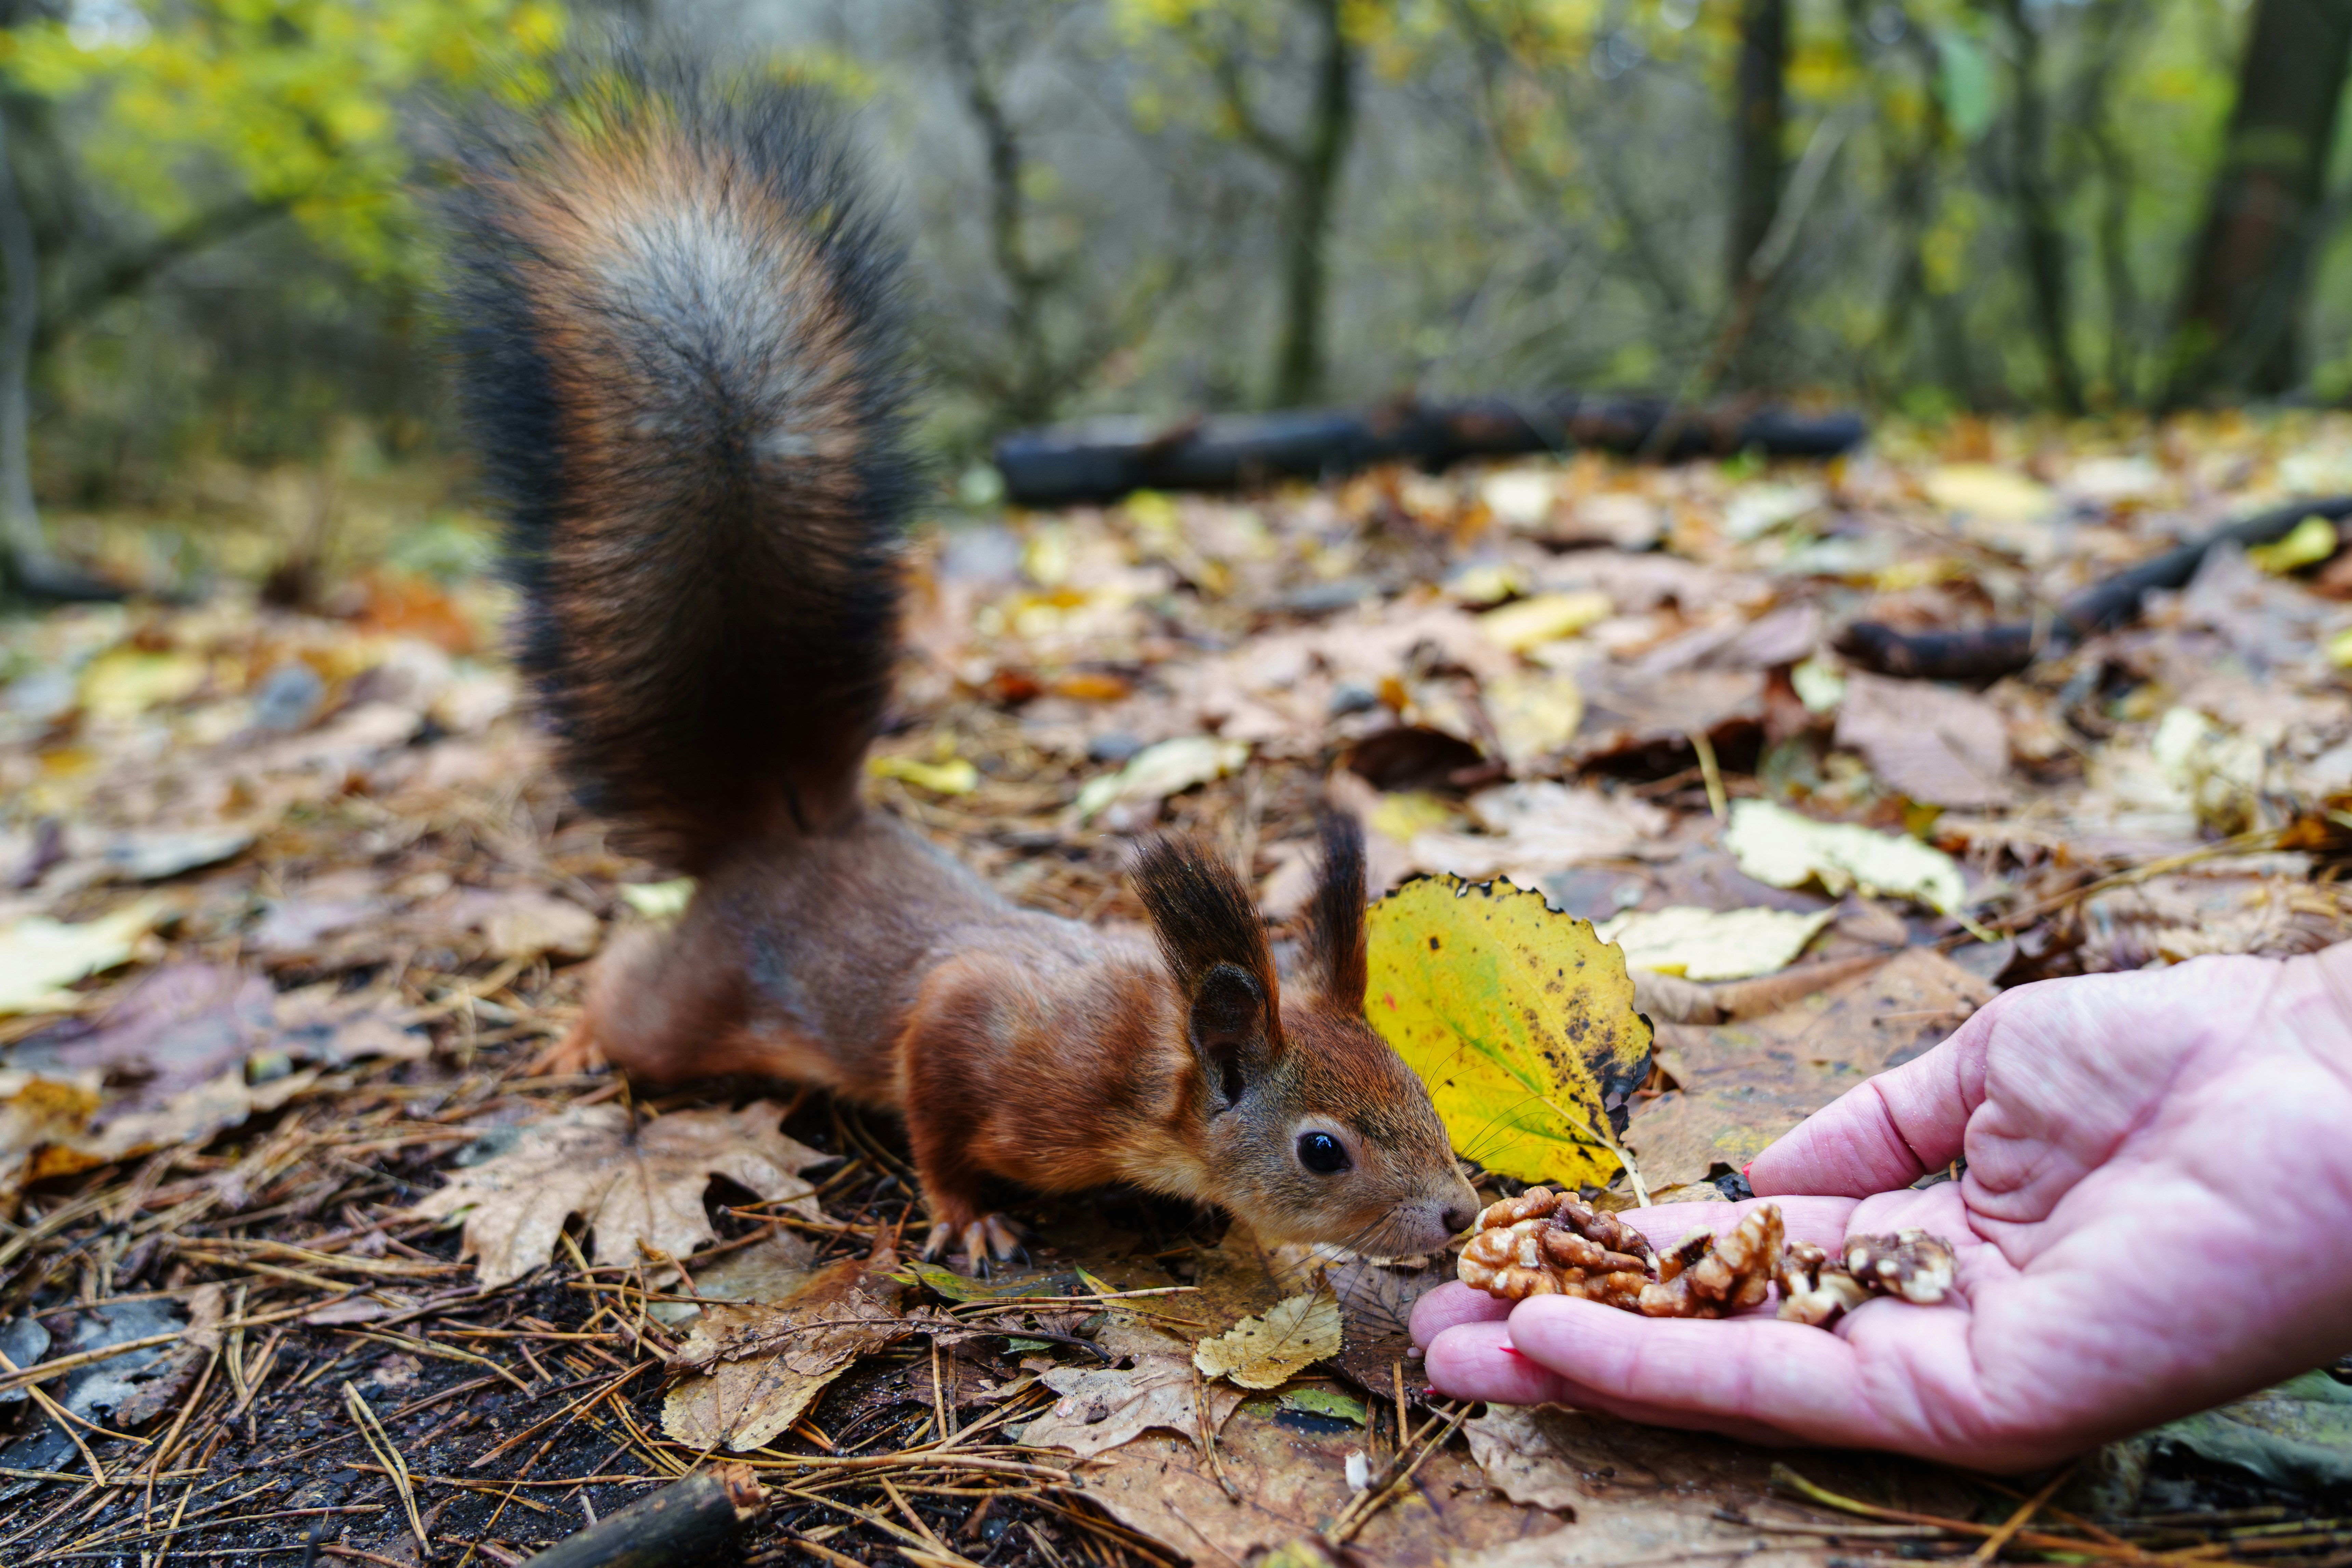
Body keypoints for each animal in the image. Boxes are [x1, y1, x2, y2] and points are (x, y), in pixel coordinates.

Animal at [445, 64, 1480, 1269]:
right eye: (1322, 1149)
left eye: (1418, 1083)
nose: (1460, 1211)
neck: (1142, 1060)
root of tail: (783, 834)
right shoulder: (972, 1035)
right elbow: (931, 1107)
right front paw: (967, 1213)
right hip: (693, 1001)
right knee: (629, 996)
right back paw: (572, 1040)